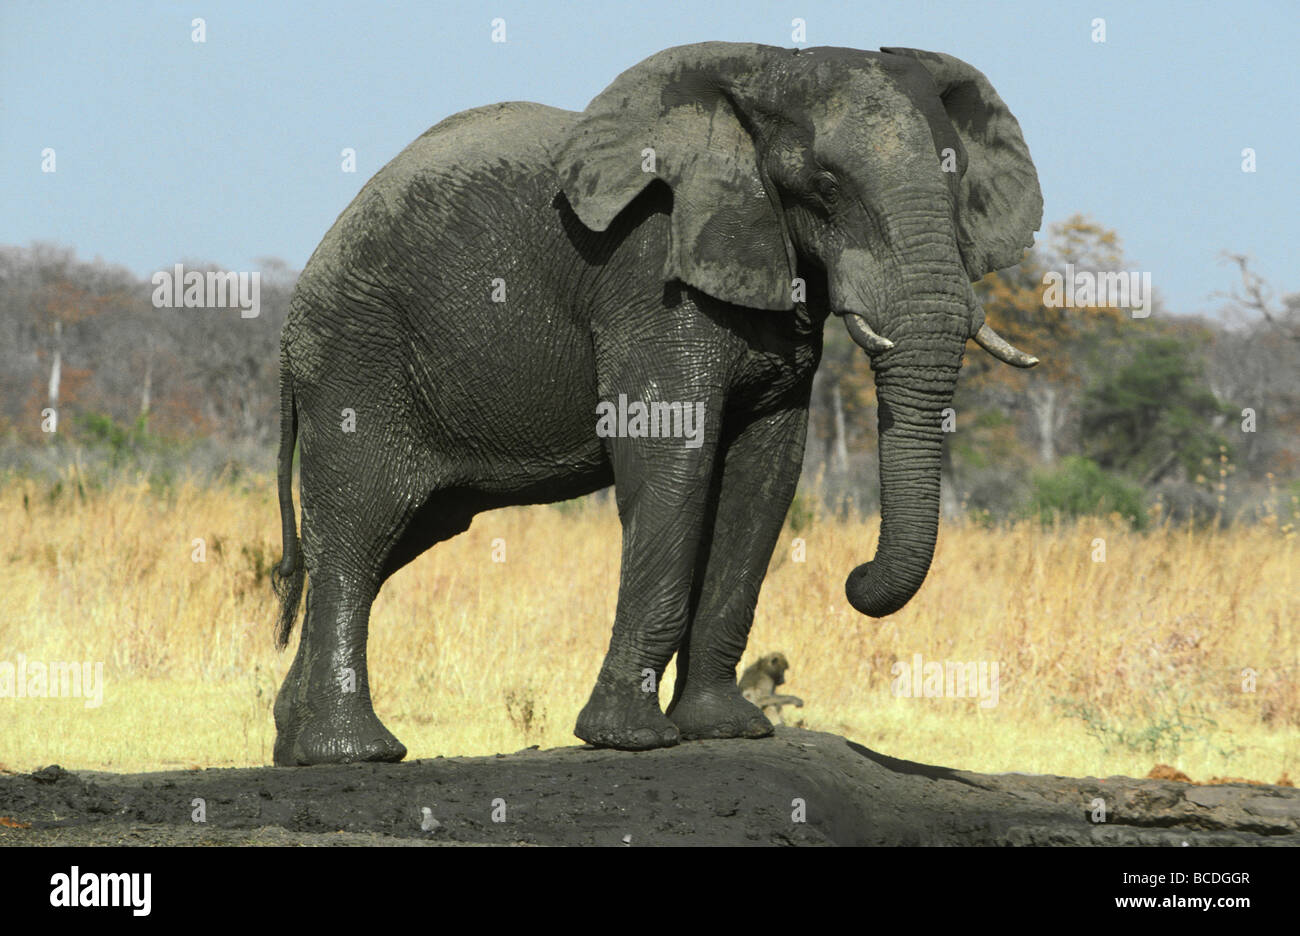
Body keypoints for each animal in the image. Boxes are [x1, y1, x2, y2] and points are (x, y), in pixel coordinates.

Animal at [270, 41, 1042, 766]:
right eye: (824, 187)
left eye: (959, 185)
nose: (853, 577)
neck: (758, 78)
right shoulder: (650, 279)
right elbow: (672, 461)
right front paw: (628, 740)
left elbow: (763, 475)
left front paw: (727, 730)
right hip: (356, 359)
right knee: (361, 527)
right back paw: (357, 752)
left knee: (389, 541)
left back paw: (293, 748)